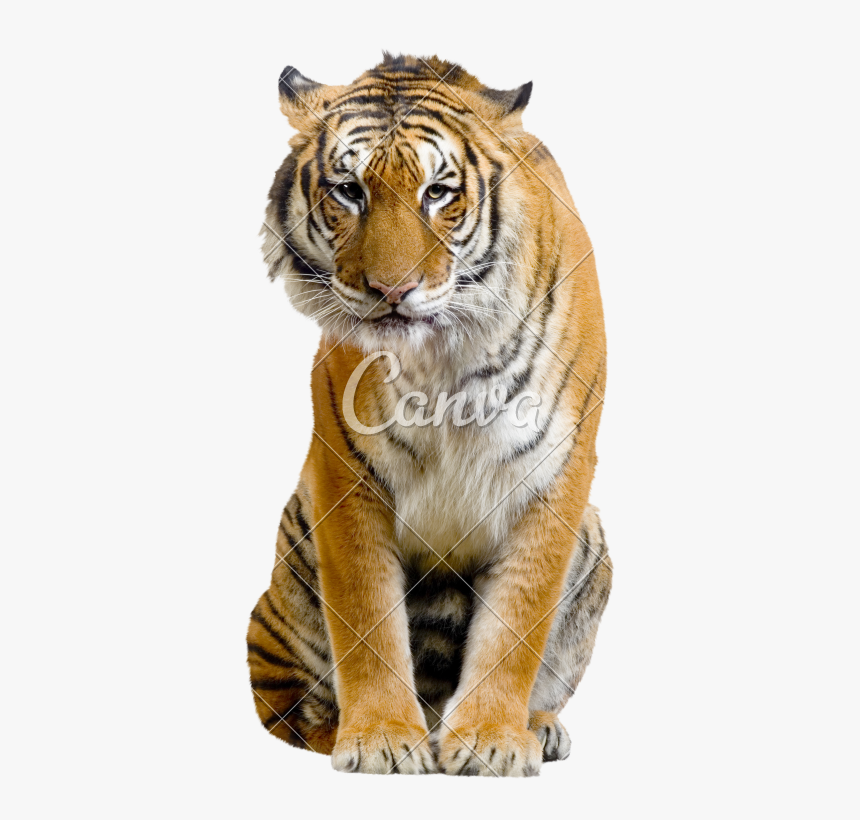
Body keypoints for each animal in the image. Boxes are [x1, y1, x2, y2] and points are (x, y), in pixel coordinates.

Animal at [248, 53, 611, 777]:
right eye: (349, 190)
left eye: (438, 193)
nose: (392, 291)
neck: (445, 359)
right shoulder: (346, 474)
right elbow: (366, 617)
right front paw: (383, 739)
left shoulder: (555, 478)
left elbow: (517, 622)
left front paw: (493, 741)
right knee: (287, 708)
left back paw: (539, 727)